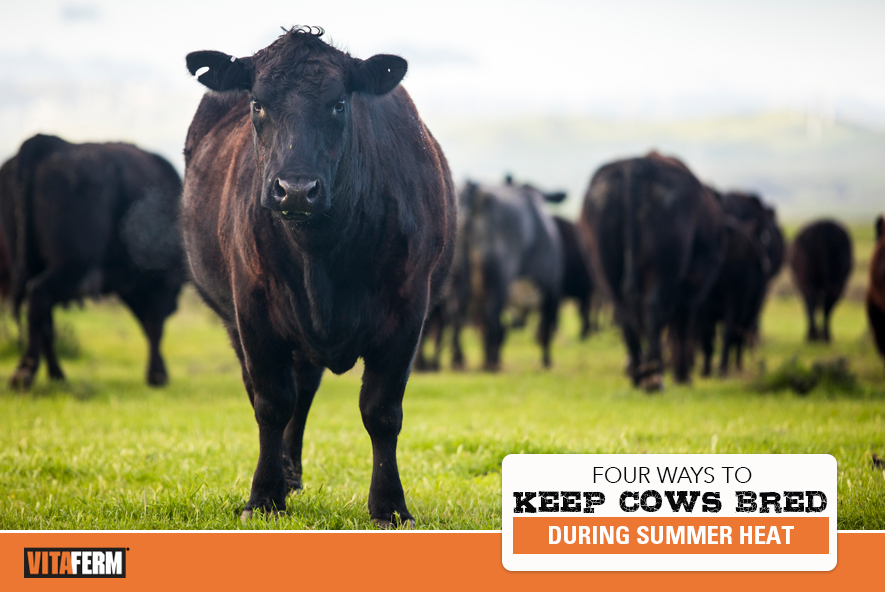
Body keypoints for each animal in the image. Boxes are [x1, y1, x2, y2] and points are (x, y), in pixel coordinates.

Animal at [0, 134, 186, 390]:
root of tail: (48, 143)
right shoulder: (161, 284)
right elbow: (154, 326)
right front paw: (156, 375)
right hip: (70, 265)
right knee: (38, 298)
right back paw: (25, 373)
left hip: (34, 266)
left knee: (43, 318)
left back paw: (57, 375)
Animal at [182, 27, 455, 527]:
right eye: (257, 103)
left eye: (339, 103)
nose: (295, 190)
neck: (320, 254)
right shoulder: (252, 311)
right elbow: (271, 403)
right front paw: (263, 496)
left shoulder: (408, 310)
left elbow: (381, 411)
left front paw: (389, 506)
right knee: (279, 393)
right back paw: (285, 476)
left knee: (304, 390)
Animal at [455, 180, 565, 371]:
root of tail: (477, 194)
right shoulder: (552, 290)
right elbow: (545, 330)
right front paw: (546, 361)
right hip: (498, 284)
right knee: (492, 321)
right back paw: (491, 363)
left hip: (458, 283)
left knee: (457, 318)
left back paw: (461, 359)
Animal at [578, 153, 725, 390]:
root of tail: (635, 165)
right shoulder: (695, 283)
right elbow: (681, 325)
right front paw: (682, 375)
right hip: (663, 272)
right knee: (653, 310)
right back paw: (655, 376)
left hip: (606, 272)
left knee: (626, 316)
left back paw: (639, 374)